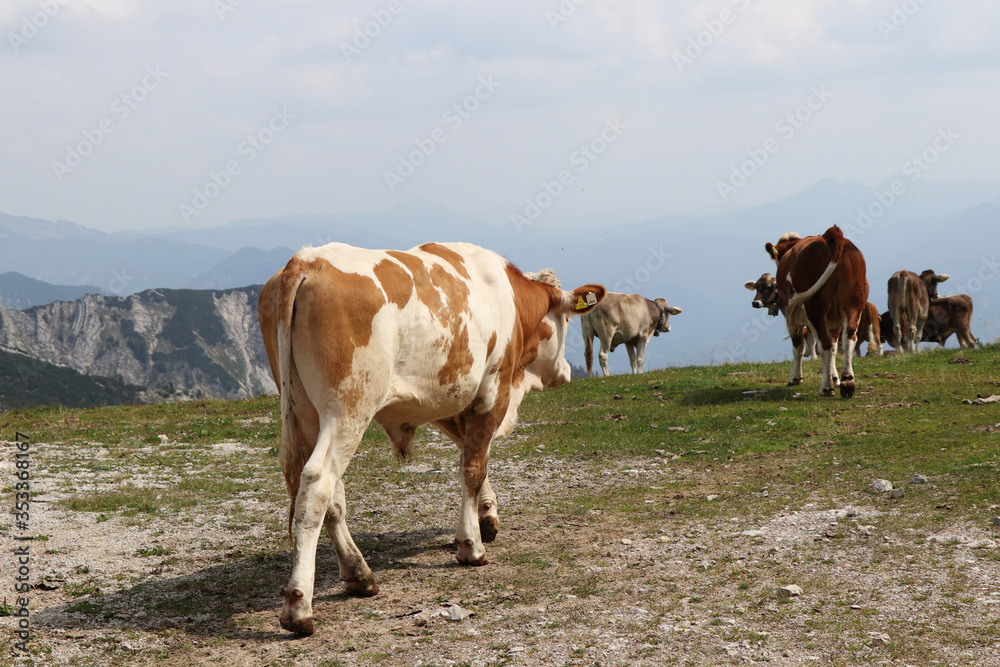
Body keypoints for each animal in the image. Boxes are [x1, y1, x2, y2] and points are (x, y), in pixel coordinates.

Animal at [257, 241, 605, 634]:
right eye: (566, 322)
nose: (565, 372)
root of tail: (306, 260)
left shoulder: (448, 397)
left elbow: (473, 455)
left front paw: (487, 516)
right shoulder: (492, 392)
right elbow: (472, 467)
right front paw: (471, 546)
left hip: (305, 412)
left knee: (330, 493)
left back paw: (359, 575)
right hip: (348, 409)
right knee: (317, 484)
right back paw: (299, 606)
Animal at [763, 226, 868, 398]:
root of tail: (830, 235)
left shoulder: (791, 316)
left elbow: (799, 347)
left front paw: (795, 378)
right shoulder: (835, 321)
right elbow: (834, 348)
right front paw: (835, 378)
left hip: (814, 309)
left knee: (824, 345)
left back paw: (826, 388)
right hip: (853, 306)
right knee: (849, 339)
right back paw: (847, 382)